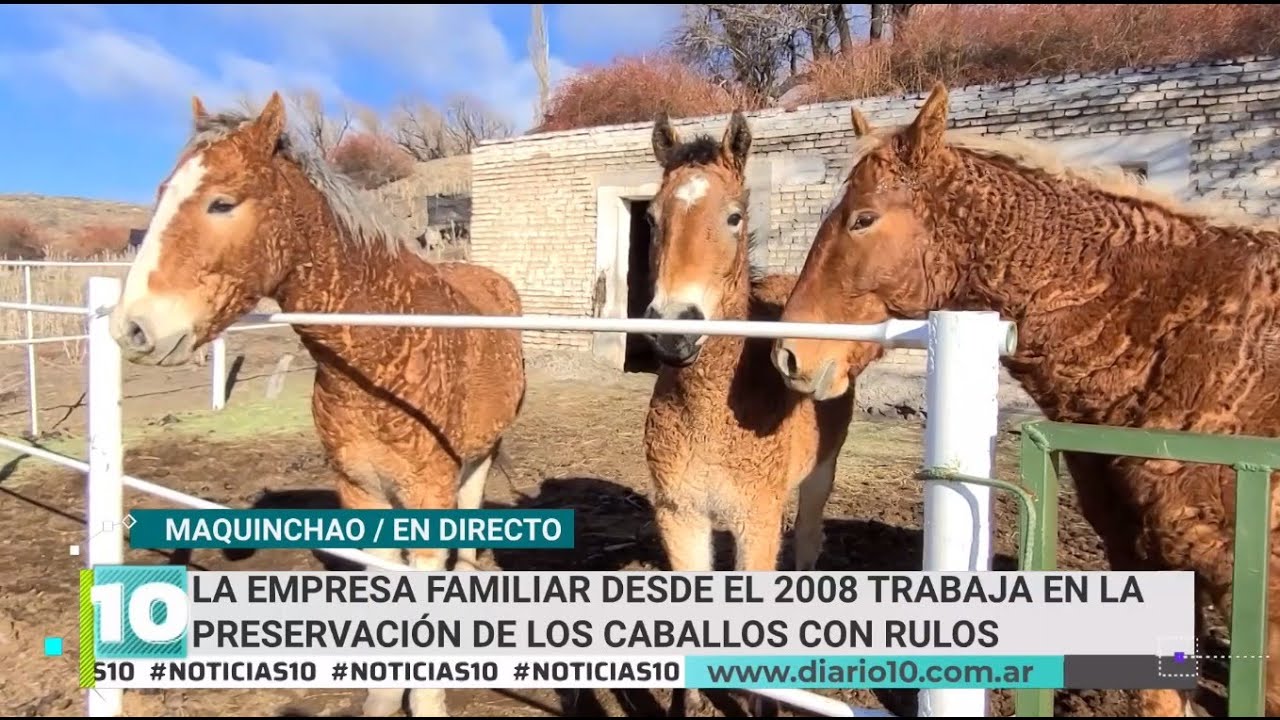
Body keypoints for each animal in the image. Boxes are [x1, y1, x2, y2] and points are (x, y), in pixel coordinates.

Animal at [107, 92, 527, 718]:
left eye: (222, 202)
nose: (132, 328)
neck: (379, 359)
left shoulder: (427, 490)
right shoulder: (360, 492)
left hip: (480, 454)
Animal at [642, 110, 885, 715]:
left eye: (733, 217)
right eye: (652, 218)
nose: (672, 332)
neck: (708, 413)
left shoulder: (759, 516)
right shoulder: (679, 513)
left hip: (820, 474)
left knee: (807, 546)